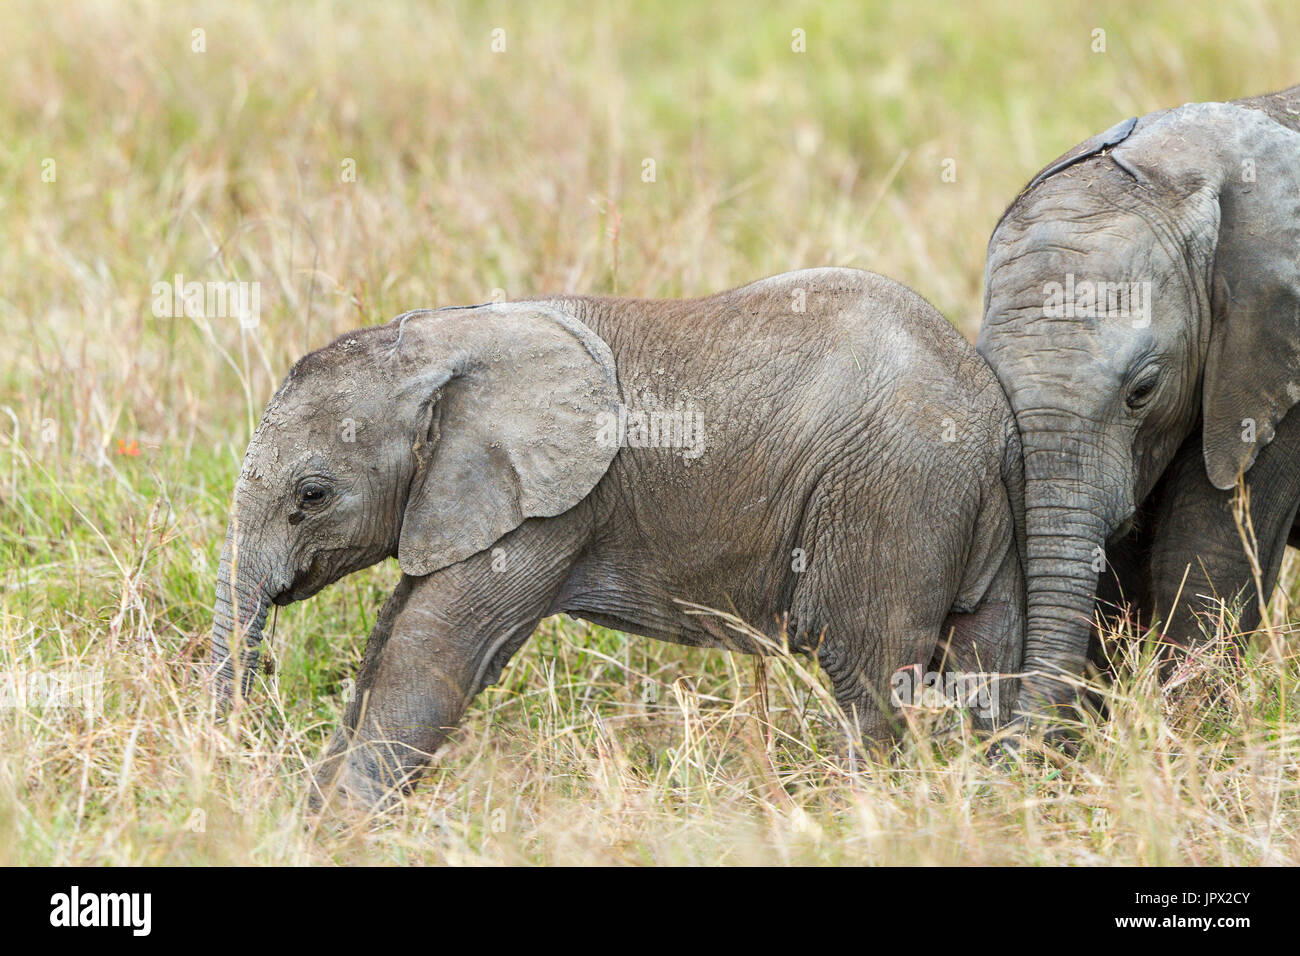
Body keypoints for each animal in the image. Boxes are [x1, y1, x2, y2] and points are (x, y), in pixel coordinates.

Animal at [211, 267, 1026, 810]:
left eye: (312, 497)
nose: (232, 774)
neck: (442, 343)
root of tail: (991, 411)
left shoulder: (555, 504)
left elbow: (434, 646)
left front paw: (333, 826)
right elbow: (394, 632)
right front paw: (308, 812)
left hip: (893, 491)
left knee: (871, 679)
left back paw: (846, 813)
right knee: (981, 657)